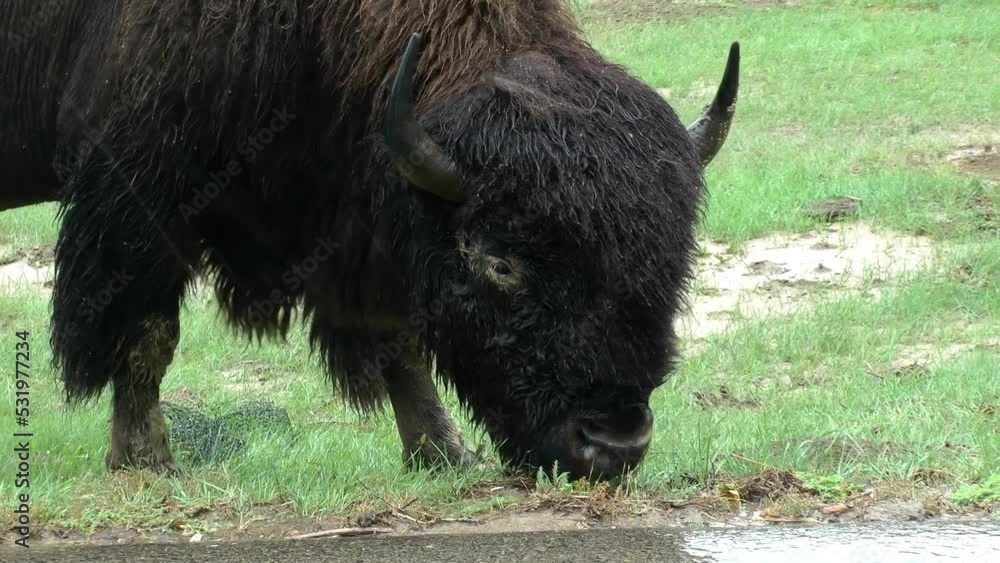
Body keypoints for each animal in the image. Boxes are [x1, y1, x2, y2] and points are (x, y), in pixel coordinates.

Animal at [0, 1, 738, 480]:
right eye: (499, 262)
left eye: (673, 259)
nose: (613, 446)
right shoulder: (142, 196)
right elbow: (149, 333)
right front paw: (148, 462)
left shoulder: (359, 223)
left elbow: (400, 341)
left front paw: (445, 456)